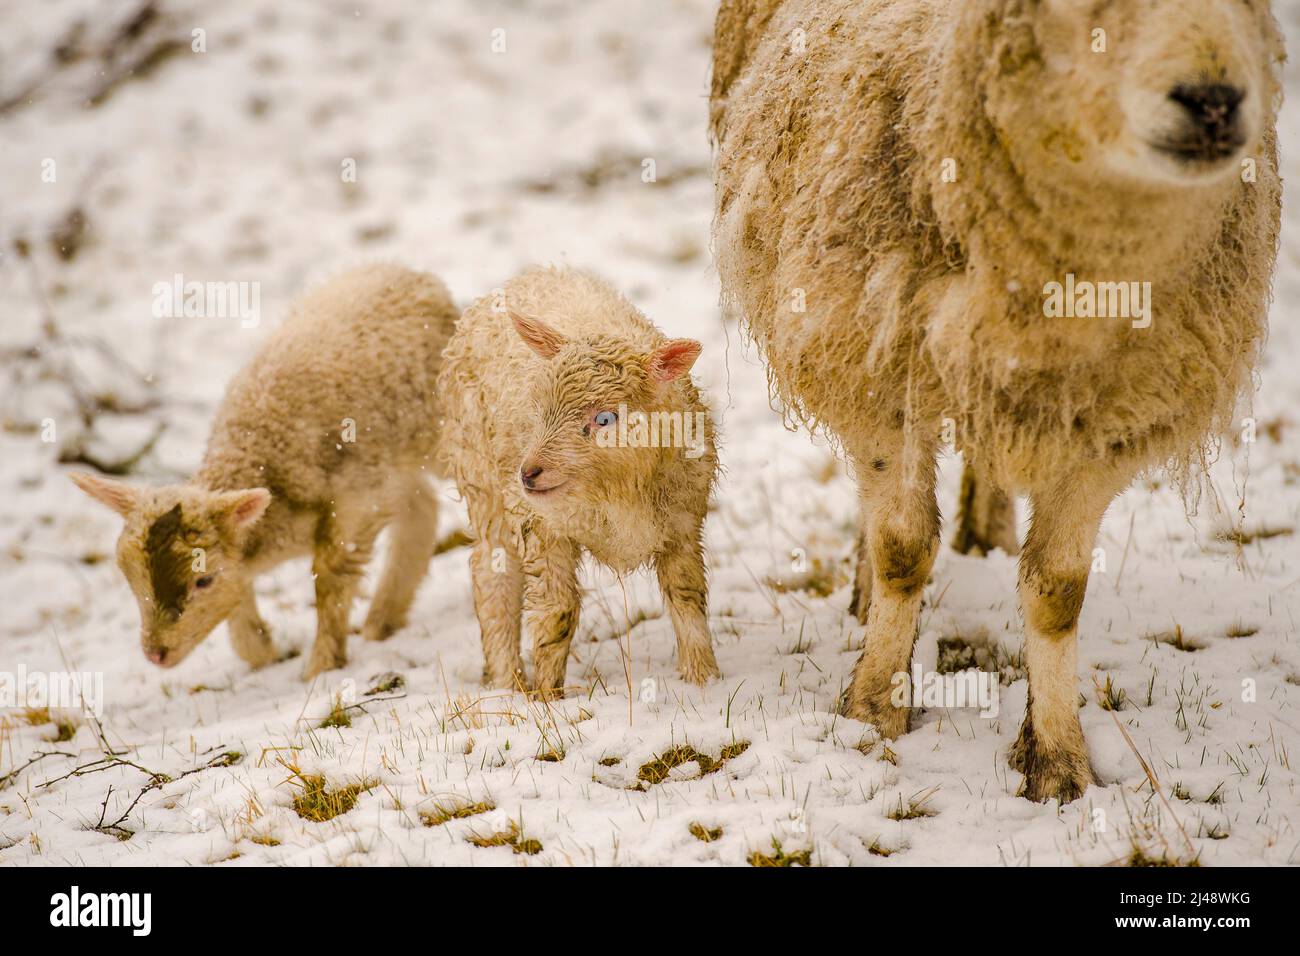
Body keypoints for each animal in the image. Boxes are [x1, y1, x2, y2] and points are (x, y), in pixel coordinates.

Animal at [71, 264, 458, 679]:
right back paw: (383, 621)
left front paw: (320, 668)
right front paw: (261, 650)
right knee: (422, 508)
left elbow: (331, 576)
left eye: (203, 581)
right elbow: (242, 591)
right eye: (130, 577)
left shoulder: (356, 500)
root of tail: (411, 273)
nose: (156, 654)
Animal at [436, 266, 721, 694]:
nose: (528, 473)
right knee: (492, 578)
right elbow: (558, 611)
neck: (616, 491)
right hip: (481, 479)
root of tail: (529, 274)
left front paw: (704, 679)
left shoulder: (683, 523)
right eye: (539, 406)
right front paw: (546, 695)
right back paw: (507, 683)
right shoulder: (542, 526)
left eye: (605, 418)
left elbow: (687, 597)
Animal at [710, 0, 1282, 802]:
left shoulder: (1110, 423)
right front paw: (874, 708)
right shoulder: (879, 373)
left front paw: (1058, 761)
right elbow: (902, 547)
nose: (1213, 100)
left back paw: (989, 530)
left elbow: (1058, 592)